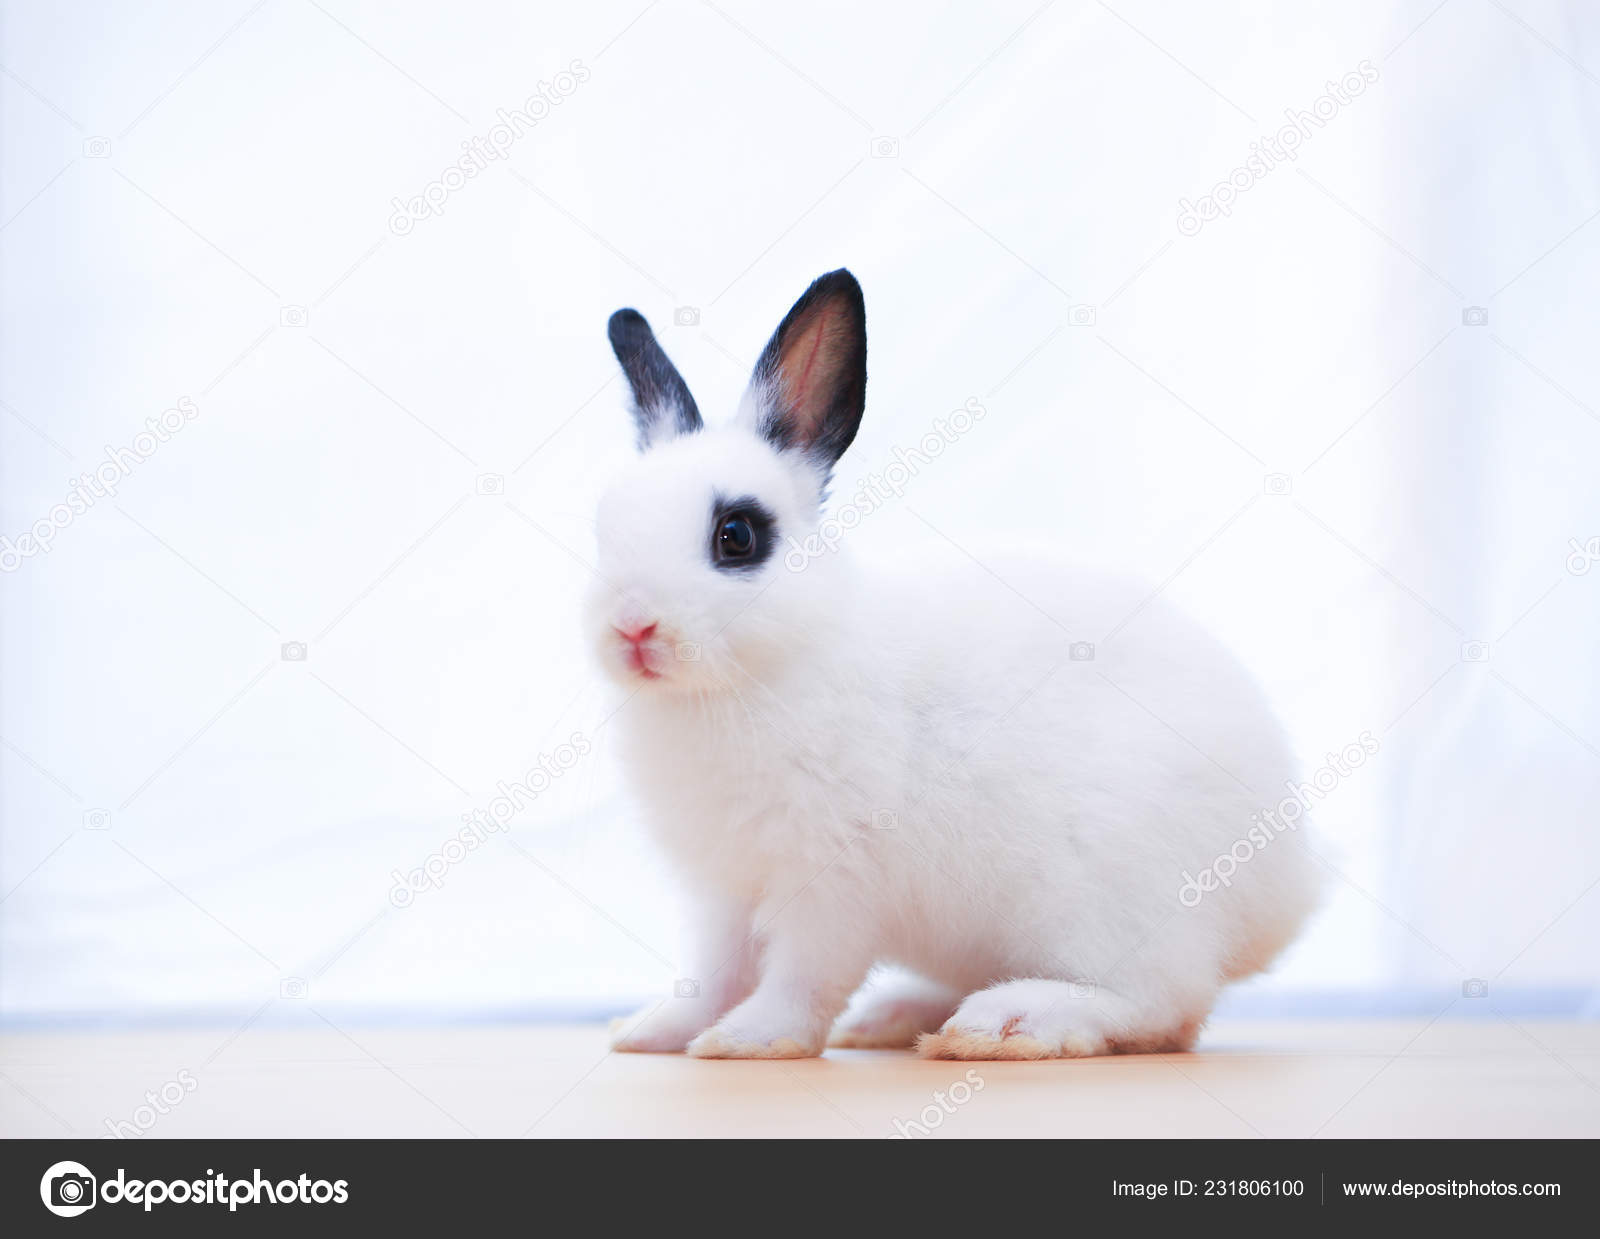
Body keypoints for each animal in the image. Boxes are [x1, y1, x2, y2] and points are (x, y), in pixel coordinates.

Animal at [588, 269, 1320, 1059]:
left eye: (737, 535)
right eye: (603, 529)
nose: (632, 626)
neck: (749, 679)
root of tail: (1288, 893)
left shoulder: (832, 884)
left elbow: (801, 977)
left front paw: (751, 1040)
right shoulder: (724, 890)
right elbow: (715, 973)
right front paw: (652, 1032)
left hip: (1106, 901)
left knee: (1163, 1006)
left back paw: (1006, 1023)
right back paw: (898, 1018)